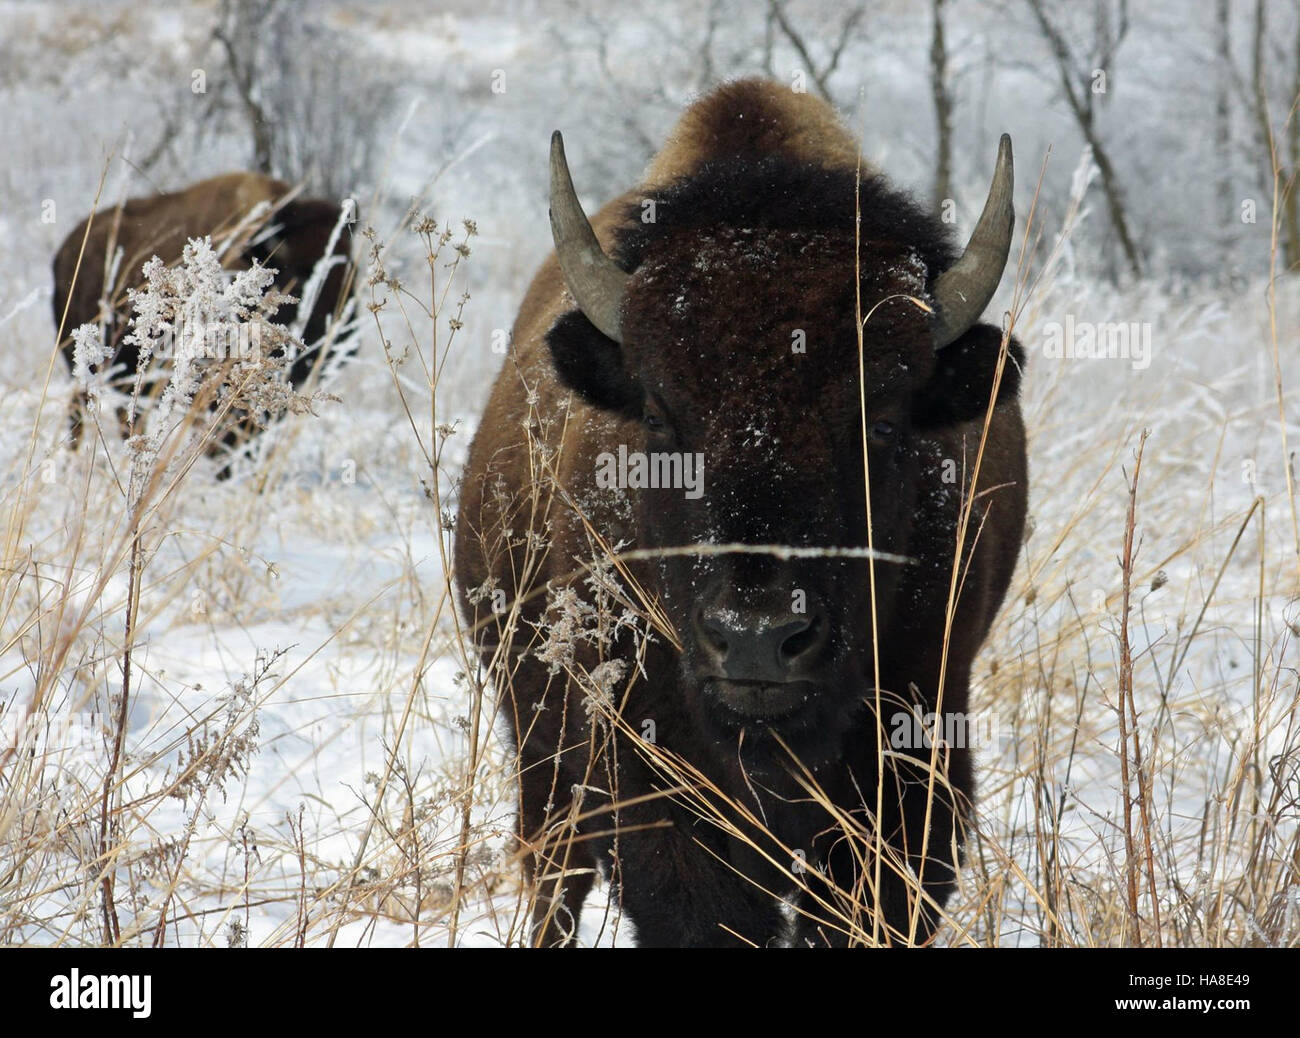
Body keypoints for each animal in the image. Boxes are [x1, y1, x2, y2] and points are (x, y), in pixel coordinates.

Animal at [455, 79, 1027, 947]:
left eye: (884, 419)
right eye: (659, 415)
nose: (758, 639)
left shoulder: (914, 776)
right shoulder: (652, 782)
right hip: (536, 735)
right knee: (554, 875)